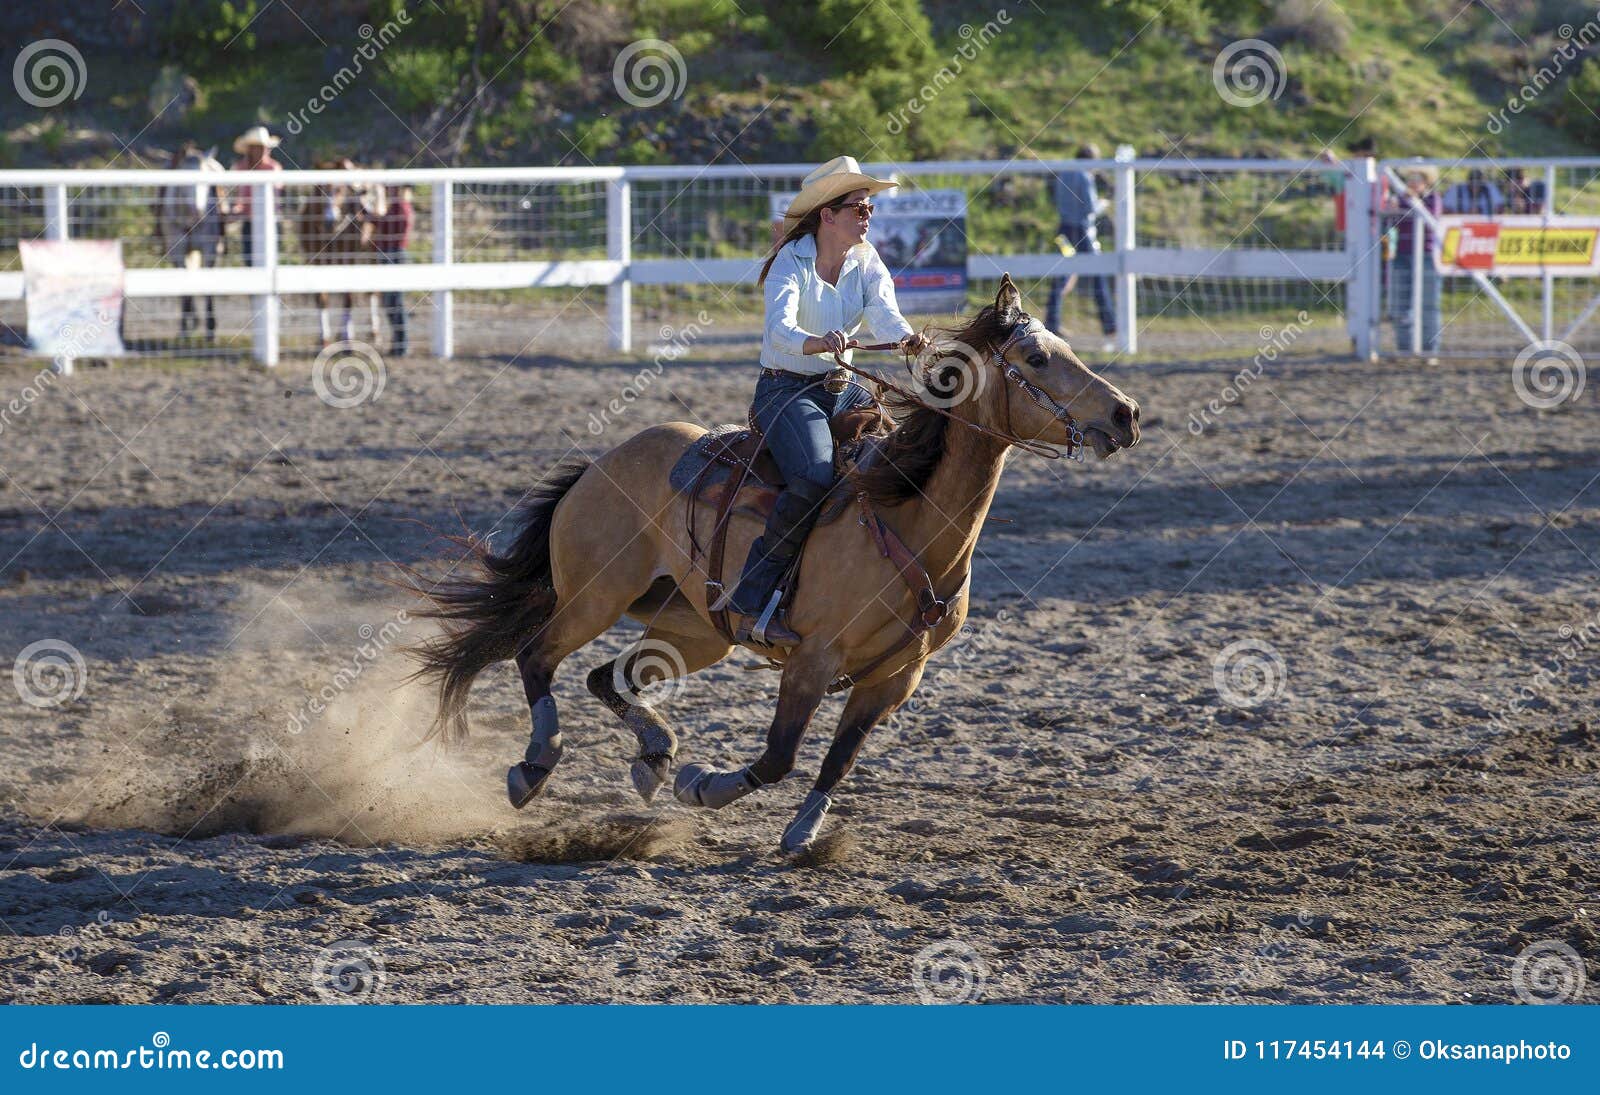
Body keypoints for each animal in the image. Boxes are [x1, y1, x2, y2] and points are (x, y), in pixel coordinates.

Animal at [155, 143, 226, 340]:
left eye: (207, 181)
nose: (199, 213)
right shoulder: (178, 251)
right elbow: (185, 288)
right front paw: (184, 329)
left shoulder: (210, 250)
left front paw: (211, 329)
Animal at [296, 161, 387, 346]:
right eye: (319, 188)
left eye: (341, 189)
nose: (330, 221)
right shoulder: (318, 260)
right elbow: (321, 297)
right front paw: (324, 338)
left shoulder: (348, 258)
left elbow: (348, 296)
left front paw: (348, 338)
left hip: (372, 253)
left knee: (373, 291)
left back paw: (374, 333)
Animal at [410, 275, 1141, 854]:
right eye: (1039, 358)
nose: (1127, 413)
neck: (908, 518)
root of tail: (600, 464)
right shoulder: (813, 659)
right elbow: (780, 753)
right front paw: (703, 787)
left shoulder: (895, 678)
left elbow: (837, 760)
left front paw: (802, 833)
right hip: (595, 596)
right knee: (536, 656)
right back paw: (537, 765)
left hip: (695, 628)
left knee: (603, 674)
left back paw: (653, 754)